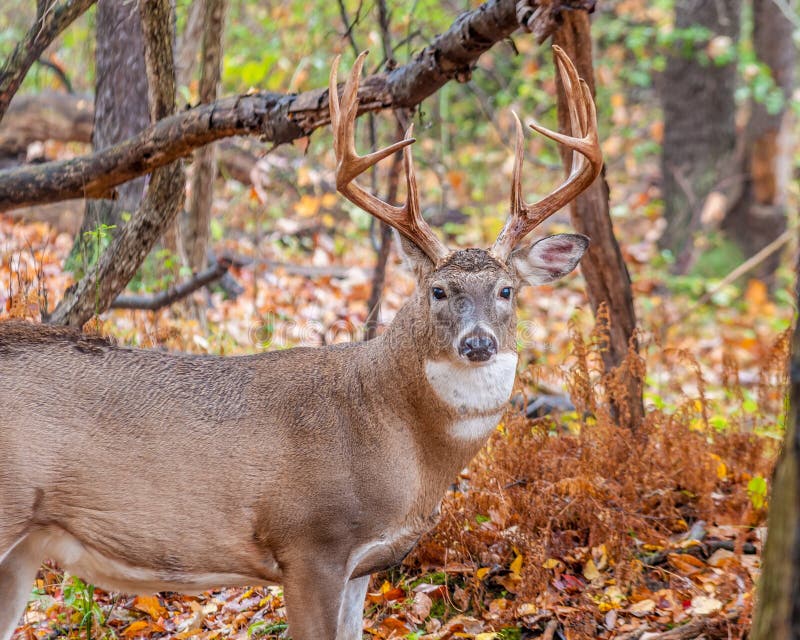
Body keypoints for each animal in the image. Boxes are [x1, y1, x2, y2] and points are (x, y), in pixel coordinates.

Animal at [0, 46, 601, 640]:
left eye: (506, 290)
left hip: (25, 548)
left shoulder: (364, 563)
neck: (396, 435)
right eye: (438, 290)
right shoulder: (310, 541)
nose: (478, 343)